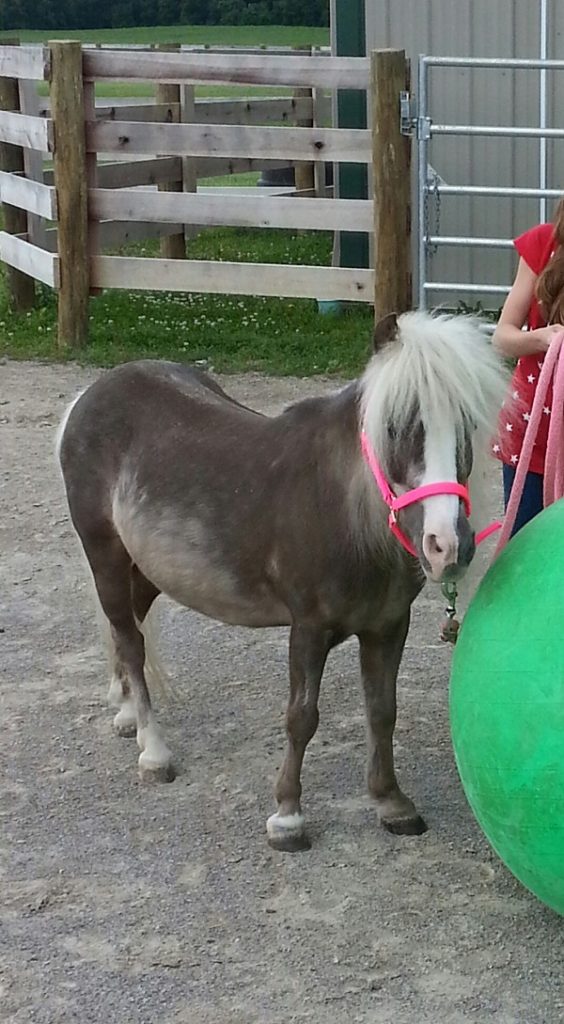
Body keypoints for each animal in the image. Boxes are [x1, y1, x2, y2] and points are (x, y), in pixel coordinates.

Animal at [57, 310, 508, 852]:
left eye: (467, 425)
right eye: (396, 427)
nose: (448, 546)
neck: (344, 511)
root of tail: (90, 395)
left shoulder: (387, 626)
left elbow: (383, 710)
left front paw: (391, 803)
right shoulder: (308, 627)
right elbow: (302, 717)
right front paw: (287, 816)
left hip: (147, 568)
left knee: (131, 629)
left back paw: (125, 712)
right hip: (104, 553)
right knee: (128, 637)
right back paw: (154, 751)